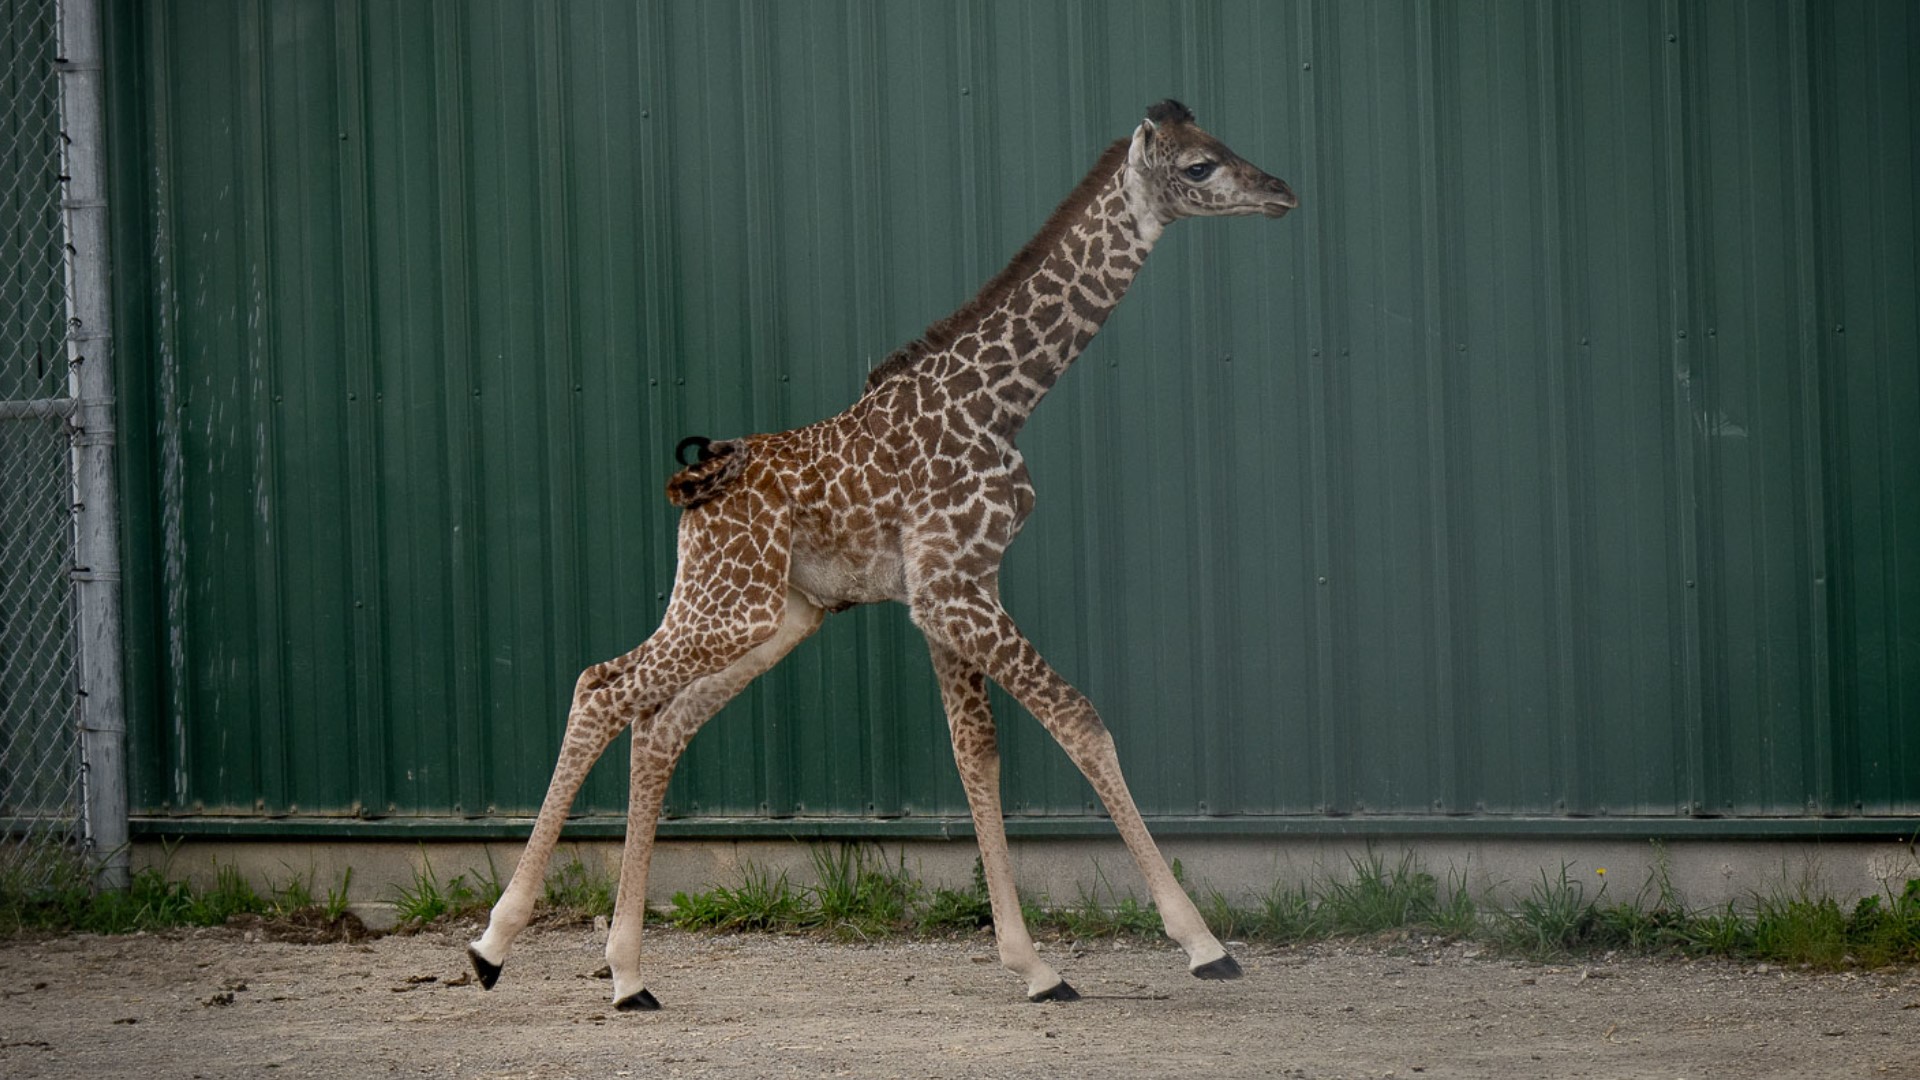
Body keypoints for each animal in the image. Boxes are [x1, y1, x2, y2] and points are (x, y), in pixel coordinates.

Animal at [468, 99, 1297, 1010]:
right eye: (1198, 168)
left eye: (1221, 146)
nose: (1282, 192)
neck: (1001, 401)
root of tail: (695, 488)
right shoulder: (952, 591)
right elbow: (1080, 721)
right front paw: (1202, 944)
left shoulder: (954, 591)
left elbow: (978, 755)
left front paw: (1035, 966)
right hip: (731, 605)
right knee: (601, 688)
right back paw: (492, 945)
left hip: (773, 616)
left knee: (658, 724)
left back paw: (626, 974)